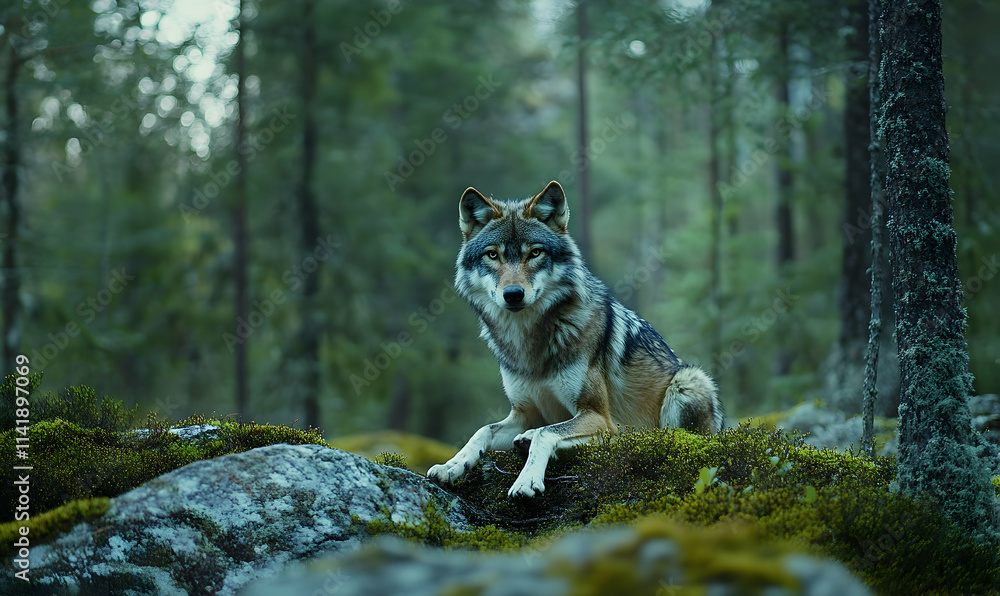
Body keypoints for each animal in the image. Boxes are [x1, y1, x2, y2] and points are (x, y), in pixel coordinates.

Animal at [427, 181, 723, 498]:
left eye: (535, 253)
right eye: (493, 255)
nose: (513, 294)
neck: (528, 342)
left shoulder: (596, 414)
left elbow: (546, 433)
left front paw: (526, 479)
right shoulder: (523, 413)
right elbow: (482, 430)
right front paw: (452, 465)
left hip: (688, 380)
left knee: (638, 438)